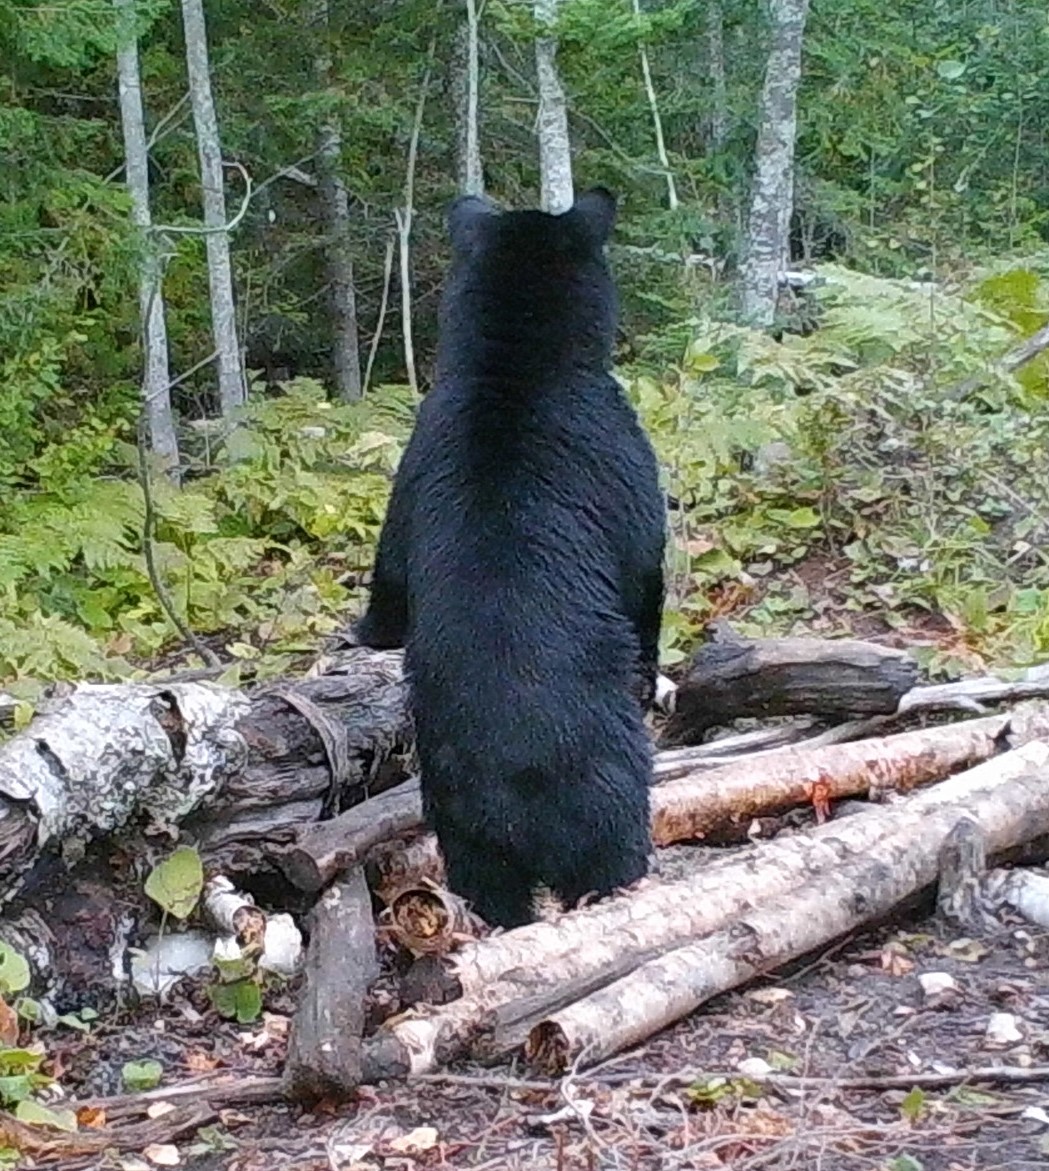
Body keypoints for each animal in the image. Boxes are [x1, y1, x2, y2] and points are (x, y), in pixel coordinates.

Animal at [353, 188, 666, 928]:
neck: (512, 369)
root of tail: (511, 792)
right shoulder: (621, 455)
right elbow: (646, 574)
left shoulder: (411, 469)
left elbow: (387, 586)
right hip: (602, 789)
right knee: (613, 852)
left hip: (456, 821)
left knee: (491, 890)